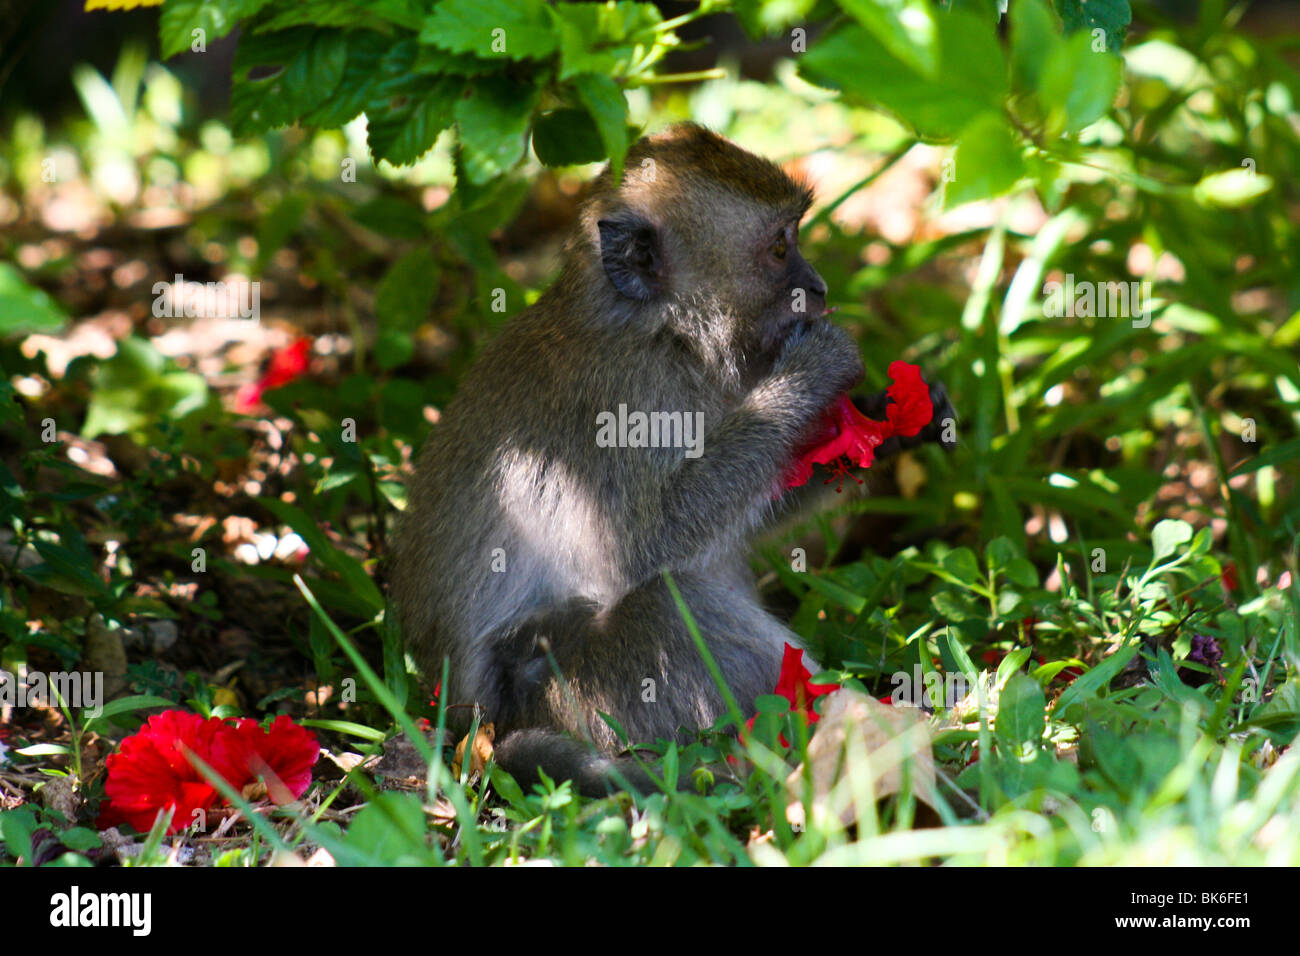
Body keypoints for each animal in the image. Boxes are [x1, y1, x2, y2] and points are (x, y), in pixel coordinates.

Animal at [392, 123, 954, 796]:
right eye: (779, 247)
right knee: (665, 606)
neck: (666, 334)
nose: (818, 288)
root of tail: (474, 730)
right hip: (568, 690)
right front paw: (816, 370)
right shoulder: (624, 404)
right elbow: (643, 546)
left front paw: (892, 420)